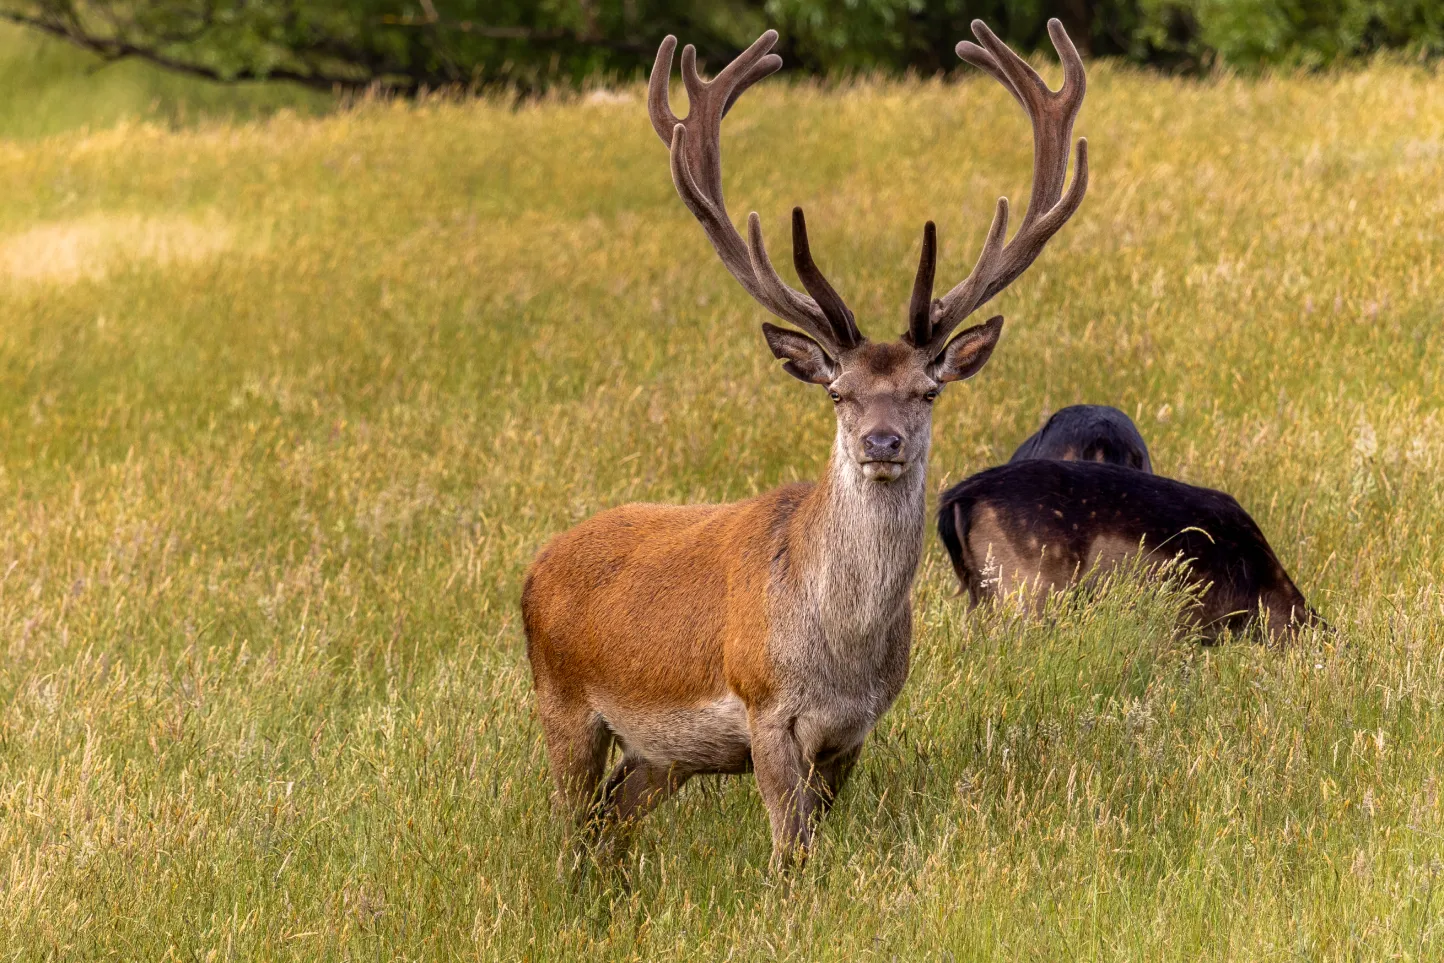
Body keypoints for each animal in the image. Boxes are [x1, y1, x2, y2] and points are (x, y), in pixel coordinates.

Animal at [522, 20, 1088, 868]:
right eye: (838, 391)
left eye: (927, 390)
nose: (882, 440)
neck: (840, 653)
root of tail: (536, 566)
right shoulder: (766, 709)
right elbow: (791, 851)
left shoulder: (855, 731)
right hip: (562, 705)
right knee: (572, 829)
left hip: (660, 755)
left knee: (608, 826)